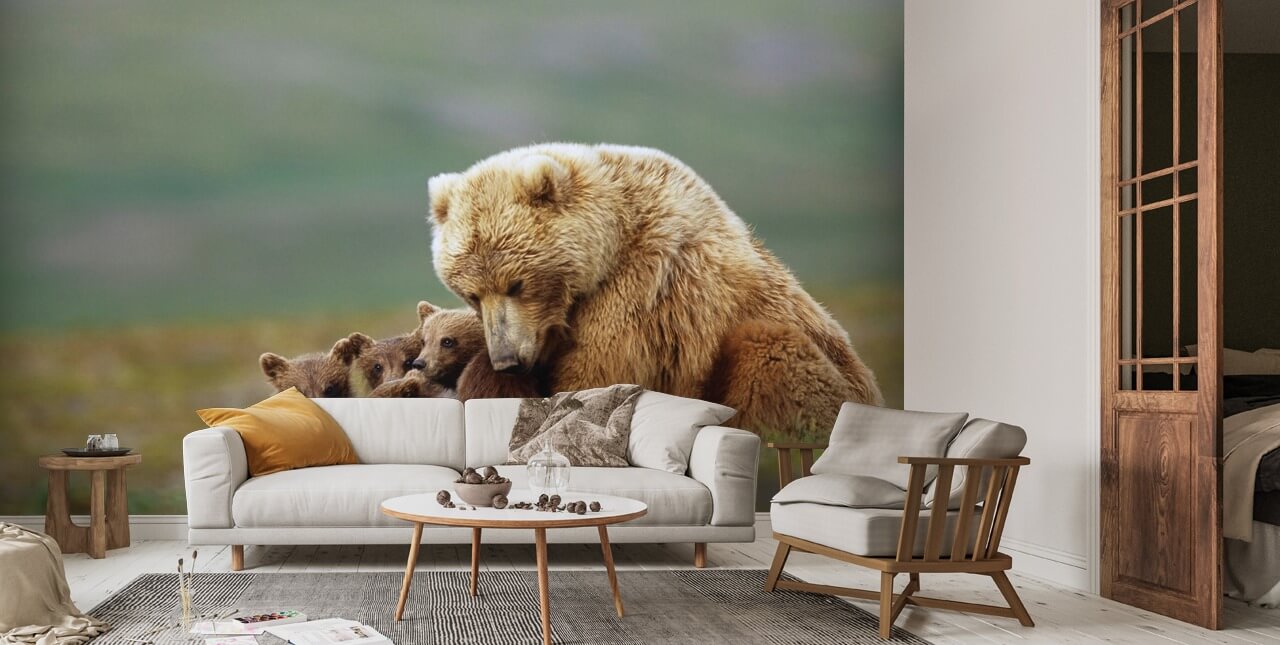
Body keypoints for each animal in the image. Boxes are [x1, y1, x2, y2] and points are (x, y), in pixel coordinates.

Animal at [427, 143, 881, 436]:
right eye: (471, 293)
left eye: (517, 284)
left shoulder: (640, 294)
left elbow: (594, 379)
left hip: (820, 372)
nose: (507, 359)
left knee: (768, 351)